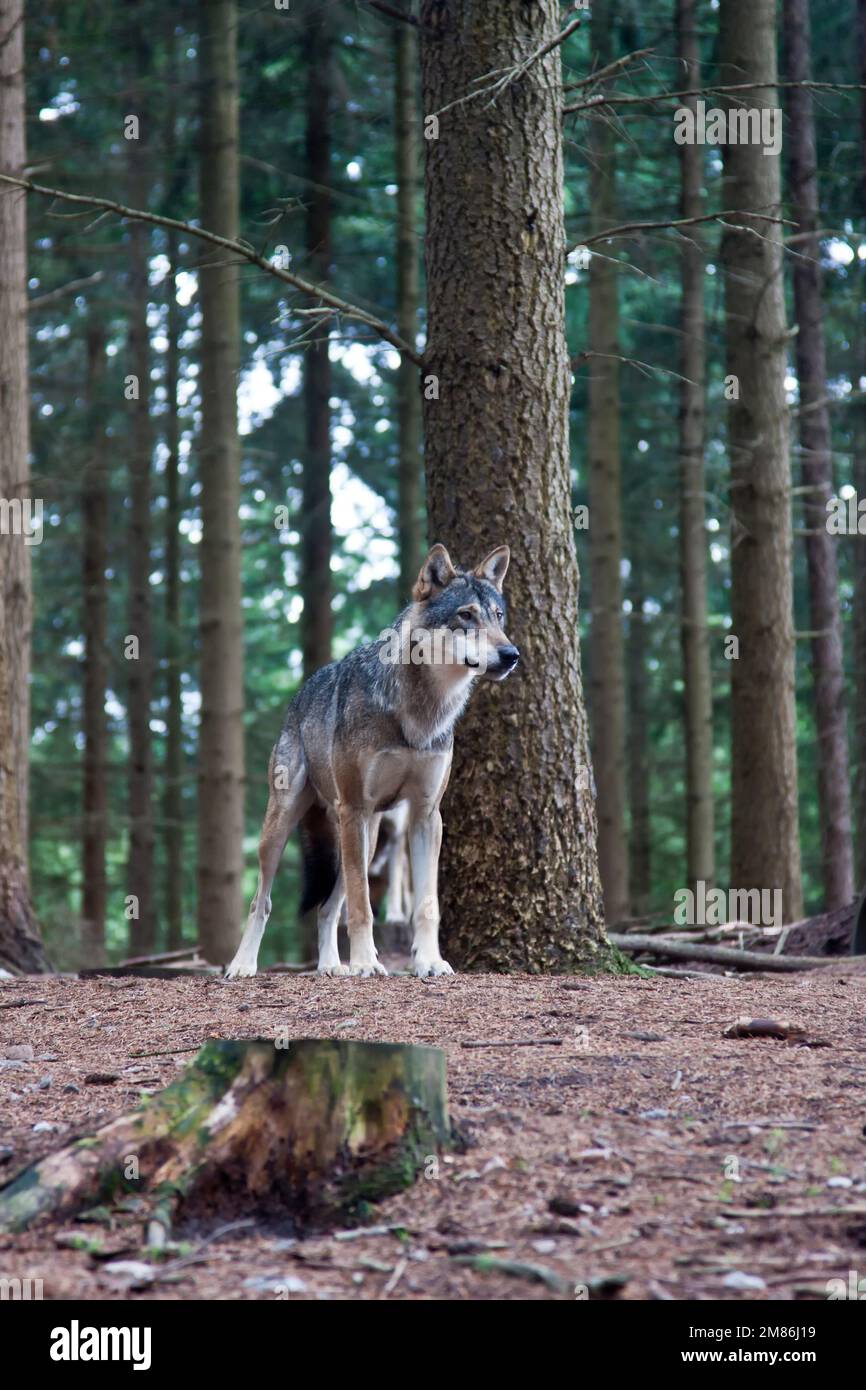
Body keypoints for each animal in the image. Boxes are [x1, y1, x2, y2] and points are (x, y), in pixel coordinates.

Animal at [225, 542, 519, 979]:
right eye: (466, 615)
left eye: (498, 616)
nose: (511, 654)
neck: (419, 712)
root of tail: (301, 693)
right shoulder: (355, 807)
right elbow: (362, 906)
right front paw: (365, 962)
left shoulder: (426, 815)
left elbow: (425, 906)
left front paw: (429, 962)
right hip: (286, 827)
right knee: (262, 901)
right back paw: (243, 965)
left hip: (367, 835)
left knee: (328, 908)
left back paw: (331, 967)